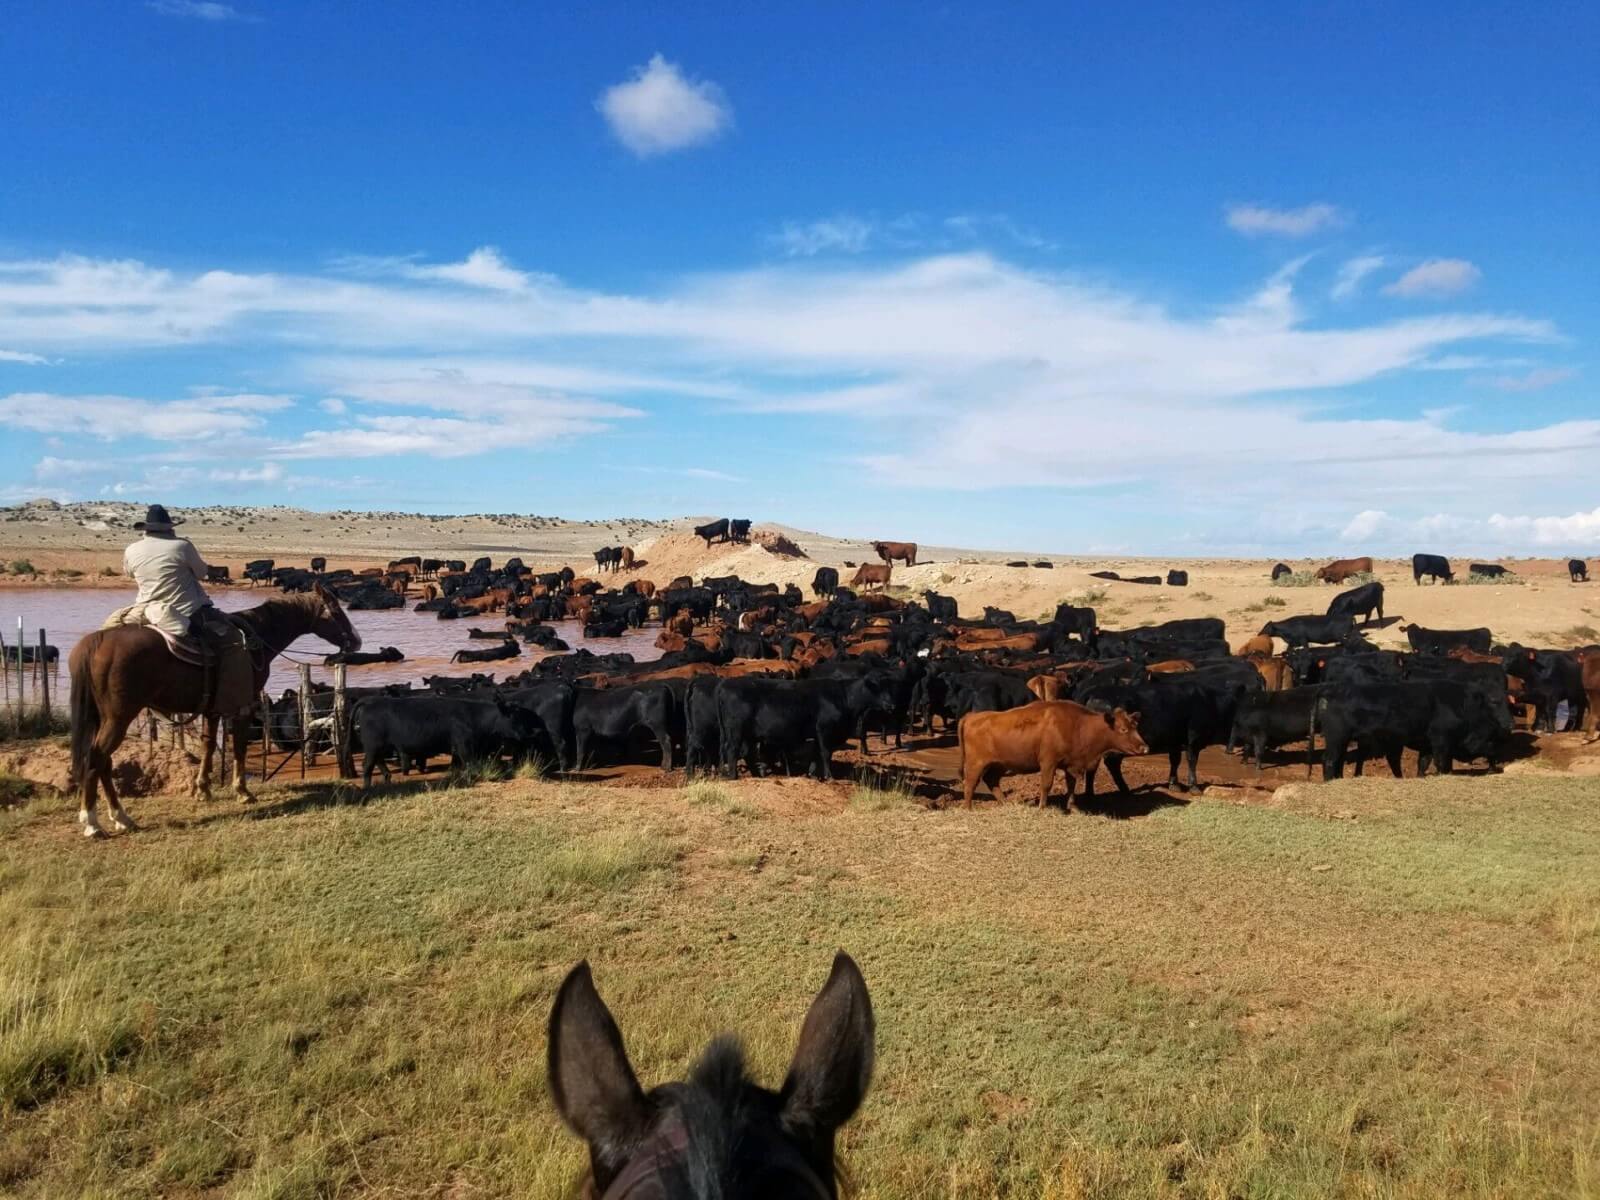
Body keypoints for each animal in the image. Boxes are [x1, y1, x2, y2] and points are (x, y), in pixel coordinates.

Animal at [959, 701, 1148, 810]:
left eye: (1136, 727)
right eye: (1123, 729)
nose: (1145, 748)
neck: (1079, 726)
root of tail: (971, 717)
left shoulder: (1071, 765)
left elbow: (1071, 785)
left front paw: (1071, 807)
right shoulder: (1049, 762)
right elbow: (1046, 785)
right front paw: (1042, 807)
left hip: (1000, 764)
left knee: (991, 780)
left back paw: (1005, 803)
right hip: (976, 763)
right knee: (970, 783)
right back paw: (968, 808)